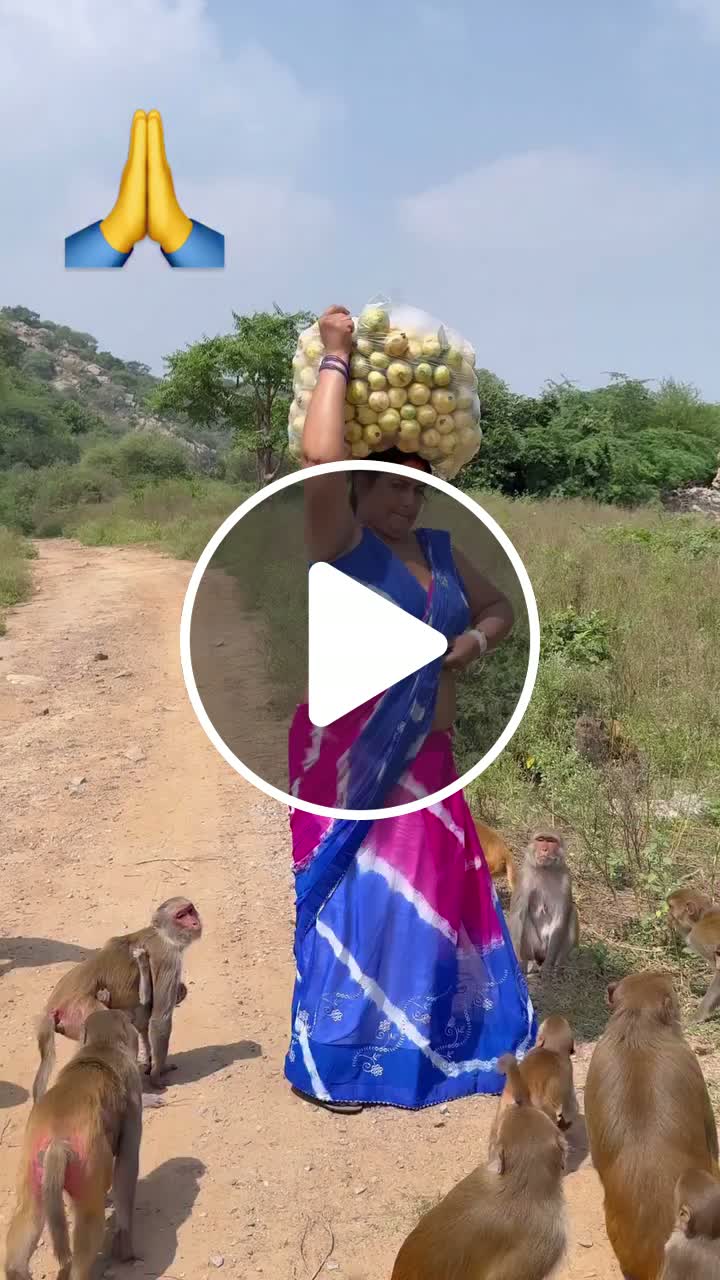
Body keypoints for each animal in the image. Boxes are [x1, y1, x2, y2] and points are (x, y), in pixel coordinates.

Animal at [5, 1009, 142, 1280]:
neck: (101, 1046)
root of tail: (58, 1141)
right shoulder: (133, 1089)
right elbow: (127, 1166)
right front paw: (125, 1248)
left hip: (32, 1161)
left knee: (29, 1213)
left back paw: (17, 1269)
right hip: (89, 1161)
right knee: (89, 1225)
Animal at [33, 897, 201, 1102]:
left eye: (191, 910)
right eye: (181, 915)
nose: (195, 922)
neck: (161, 934)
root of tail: (52, 1008)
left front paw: (153, 1065)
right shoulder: (169, 958)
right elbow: (160, 1019)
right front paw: (156, 1075)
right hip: (83, 1012)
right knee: (127, 1037)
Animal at [507, 830, 579, 975]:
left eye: (551, 841)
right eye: (540, 840)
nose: (545, 849)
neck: (545, 869)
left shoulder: (566, 880)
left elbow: (560, 919)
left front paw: (547, 967)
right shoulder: (524, 877)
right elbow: (518, 916)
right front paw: (516, 961)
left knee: (573, 911)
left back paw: (557, 966)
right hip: (536, 947)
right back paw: (530, 963)